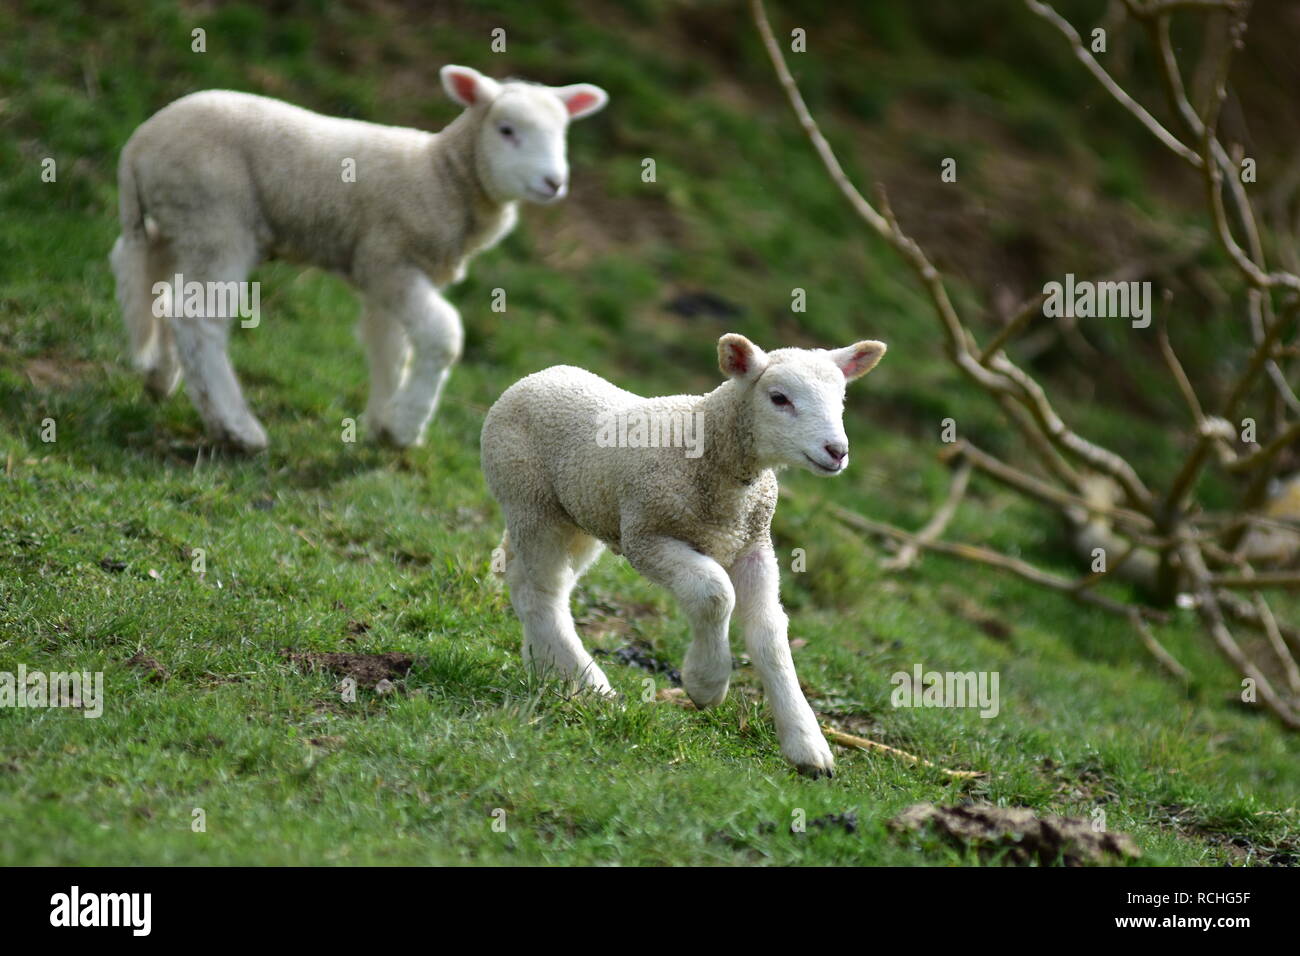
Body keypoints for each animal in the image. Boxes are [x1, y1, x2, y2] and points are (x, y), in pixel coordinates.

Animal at [109, 66, 608, 452]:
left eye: (561, 134)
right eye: (507, 131)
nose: (554, 182)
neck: (443, 176)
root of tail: (138, 144)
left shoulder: (384, 272)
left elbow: (389, 346)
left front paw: (383, 423)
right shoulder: (388, 262)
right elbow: (441, 335)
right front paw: (407, 426)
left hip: (179, 224)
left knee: (151, 284)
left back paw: (163, 380)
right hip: (217, 218)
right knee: (196, 319)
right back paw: (237, 428)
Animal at [481, 333, 887, 775]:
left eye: (841, 399)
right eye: (779, 398)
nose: (836, 451)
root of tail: (537, 376)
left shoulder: (753, 545)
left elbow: (770, 634)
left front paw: (807, 746)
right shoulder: (647, 535)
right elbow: (714, 593)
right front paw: (706, 683)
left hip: (581, 516)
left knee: (534, 583)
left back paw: (548, 668)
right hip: (531, 499)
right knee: (541, 593)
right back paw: (593, 684)